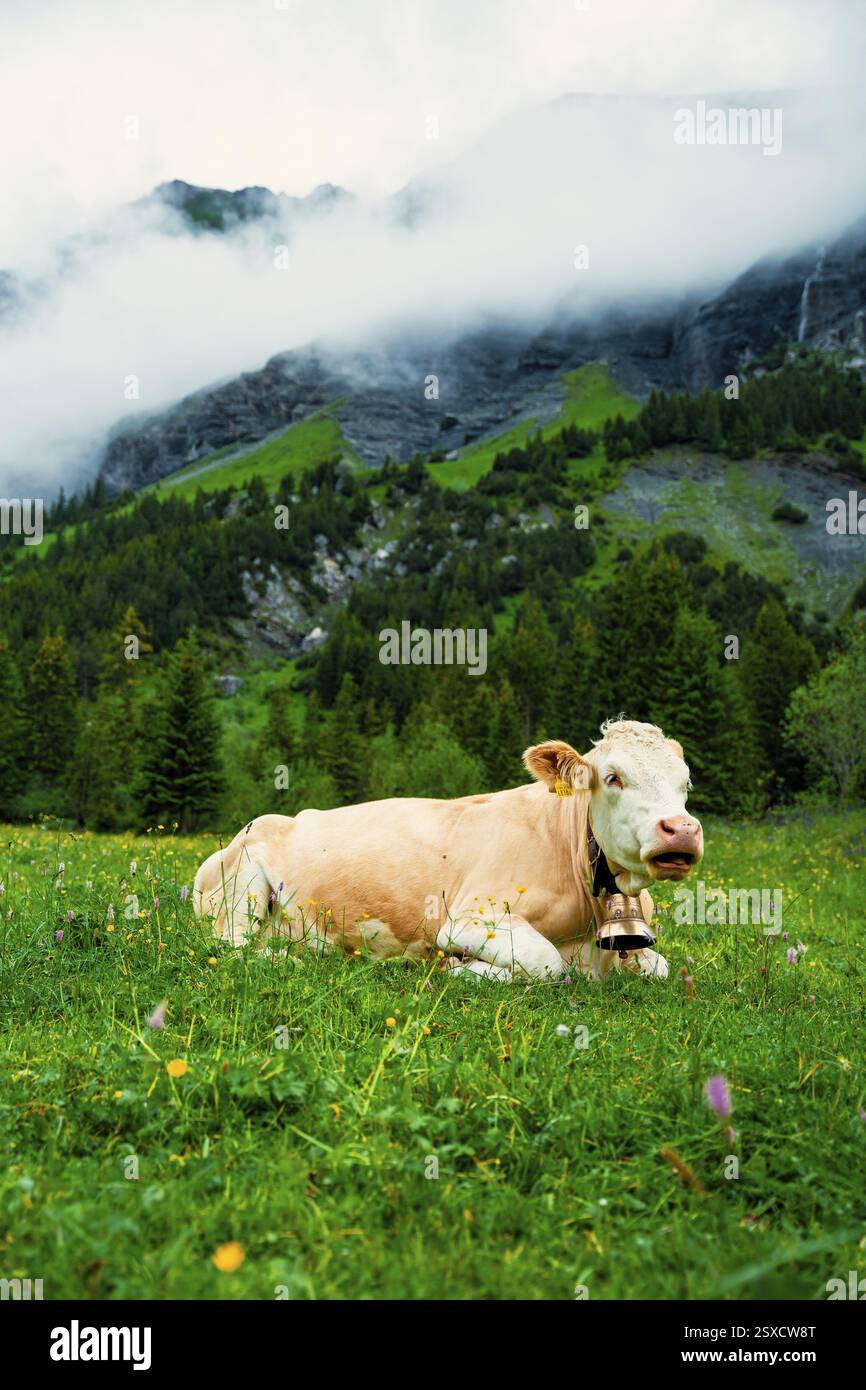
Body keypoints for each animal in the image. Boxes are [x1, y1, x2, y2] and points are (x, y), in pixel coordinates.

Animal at [193, 718, 703, 982]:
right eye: (613, 777)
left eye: (685, 782)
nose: (681, 831)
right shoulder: (470, 918)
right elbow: (546, 963)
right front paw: (462, 968)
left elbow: (659, 966)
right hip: (245, 886)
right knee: (233, 943)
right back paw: (288, 956)